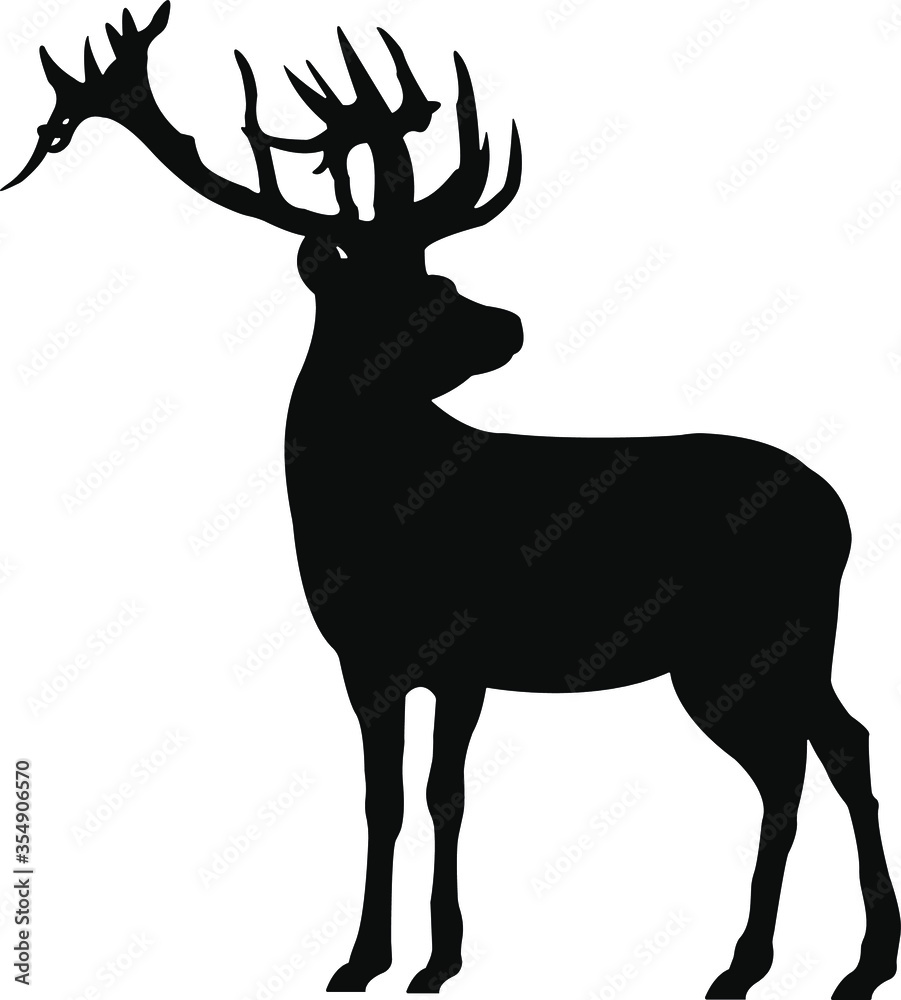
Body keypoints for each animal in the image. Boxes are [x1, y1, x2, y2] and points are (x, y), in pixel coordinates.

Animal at [4, 4, 898, 998]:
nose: (507, 325)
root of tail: (842, 515)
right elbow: (386, 800)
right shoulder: (367, 661)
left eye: (437, 277)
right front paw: (369, 958)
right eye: (395, 289)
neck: (367, 518)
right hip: (777, 648)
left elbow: (441, 796)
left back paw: (763, 964)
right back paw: (836, 964)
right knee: (837, 746)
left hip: (742, 646)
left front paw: (428, 959)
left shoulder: (463, 649)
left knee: (797, 764)